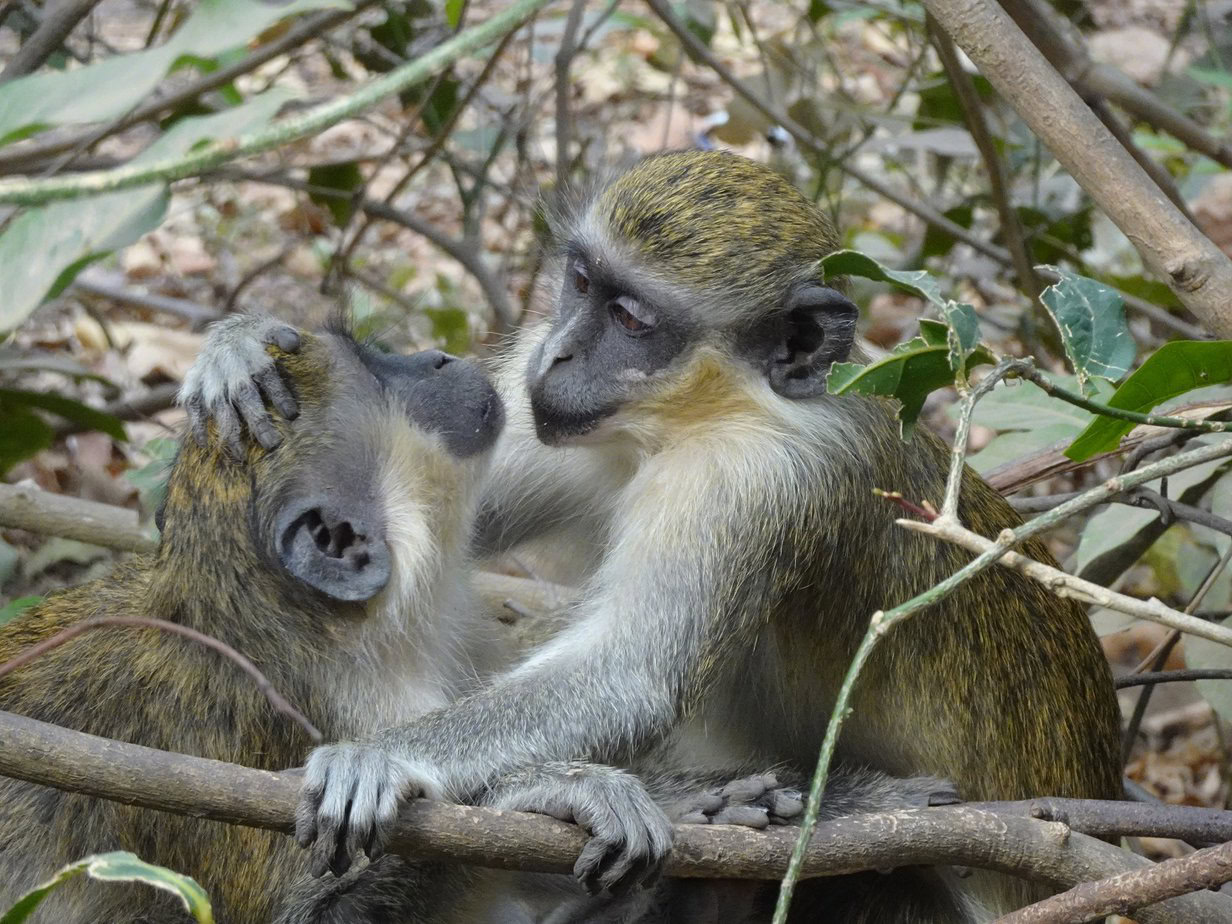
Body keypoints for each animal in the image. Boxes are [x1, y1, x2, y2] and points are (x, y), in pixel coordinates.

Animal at [180, 150, 1121, 922]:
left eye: (633, 321)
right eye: (580, 283)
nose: (554, 355)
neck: (694, 417)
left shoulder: (749, 479)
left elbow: (629, 675)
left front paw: (383, 759)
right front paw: (238, 345)